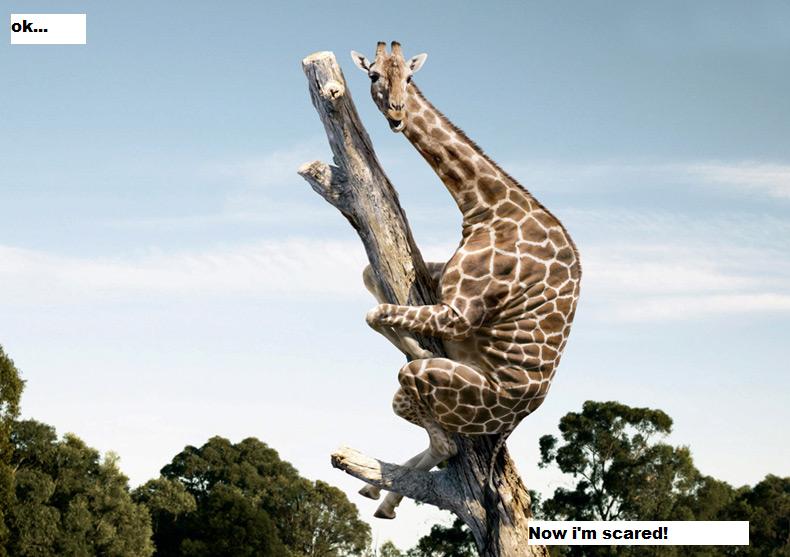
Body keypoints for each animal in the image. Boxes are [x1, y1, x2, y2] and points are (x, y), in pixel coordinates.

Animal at [350, 41, 582, 519]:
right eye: (374, 75)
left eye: (409, 78)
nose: (397, 114)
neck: (486, 206)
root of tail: (514, 419)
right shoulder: (440, 285)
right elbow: (369, 281)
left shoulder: (459, 313)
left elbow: (375, 313)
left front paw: (417, 344)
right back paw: (378, 495)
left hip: (432, 386)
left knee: (444, 441)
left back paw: (384, 495)